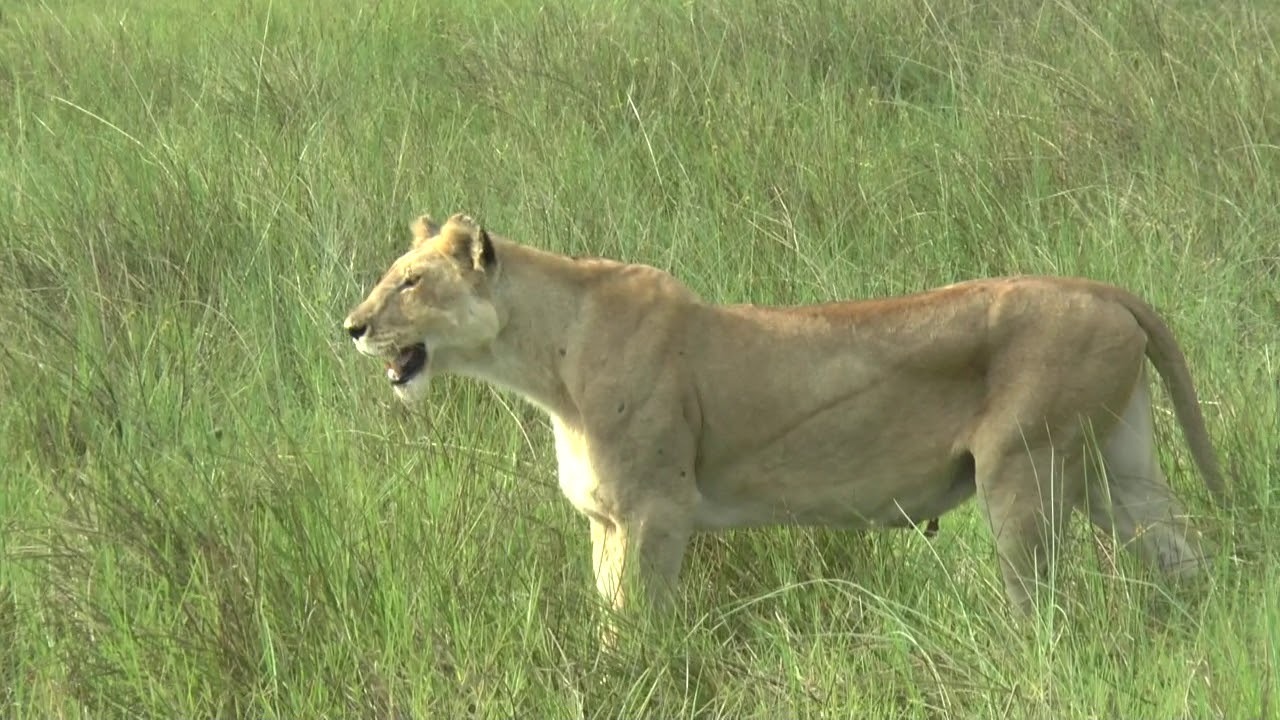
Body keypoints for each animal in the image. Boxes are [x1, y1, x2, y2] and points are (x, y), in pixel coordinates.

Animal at [343, 212, 1225, 633]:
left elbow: (633, 627)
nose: (351, 326)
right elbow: (608, 613)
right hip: (1118, 470)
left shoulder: (654, 512)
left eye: (411, 283)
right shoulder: (606, 520)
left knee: (1038, 605)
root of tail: (1099, 287)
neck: (544, 362)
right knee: (1185, 555)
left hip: (1024, 470)